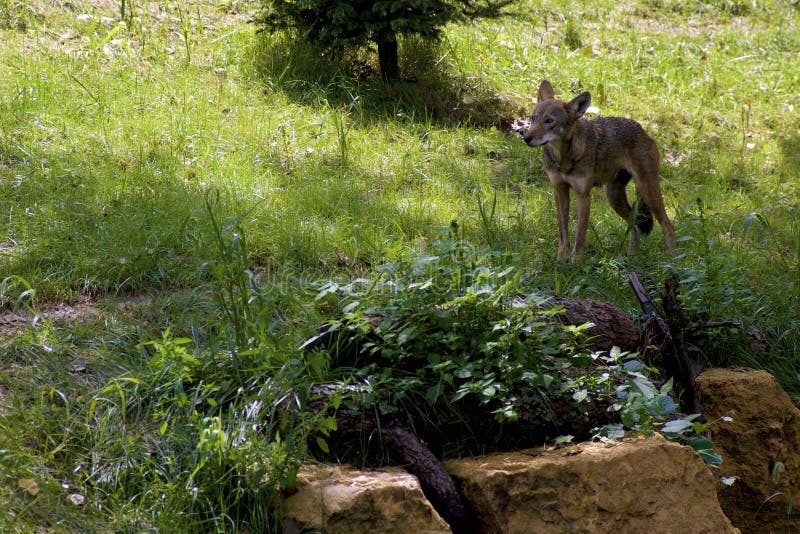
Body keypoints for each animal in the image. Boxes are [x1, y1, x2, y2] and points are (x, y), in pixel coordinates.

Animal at [523, 80, 677, 262]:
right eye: (533, 119)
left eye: (549, 121)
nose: (526, 138)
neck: (564, 158)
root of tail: (643, 130)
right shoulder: (559, 191)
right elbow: (563, 234)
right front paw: (560, 261)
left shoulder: (584, 195)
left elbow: (580, 236)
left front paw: (575, 263)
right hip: (613, 196)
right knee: (635, 225)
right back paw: (631, 258)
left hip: (647, 192)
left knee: (667, 225)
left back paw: (674, 260)